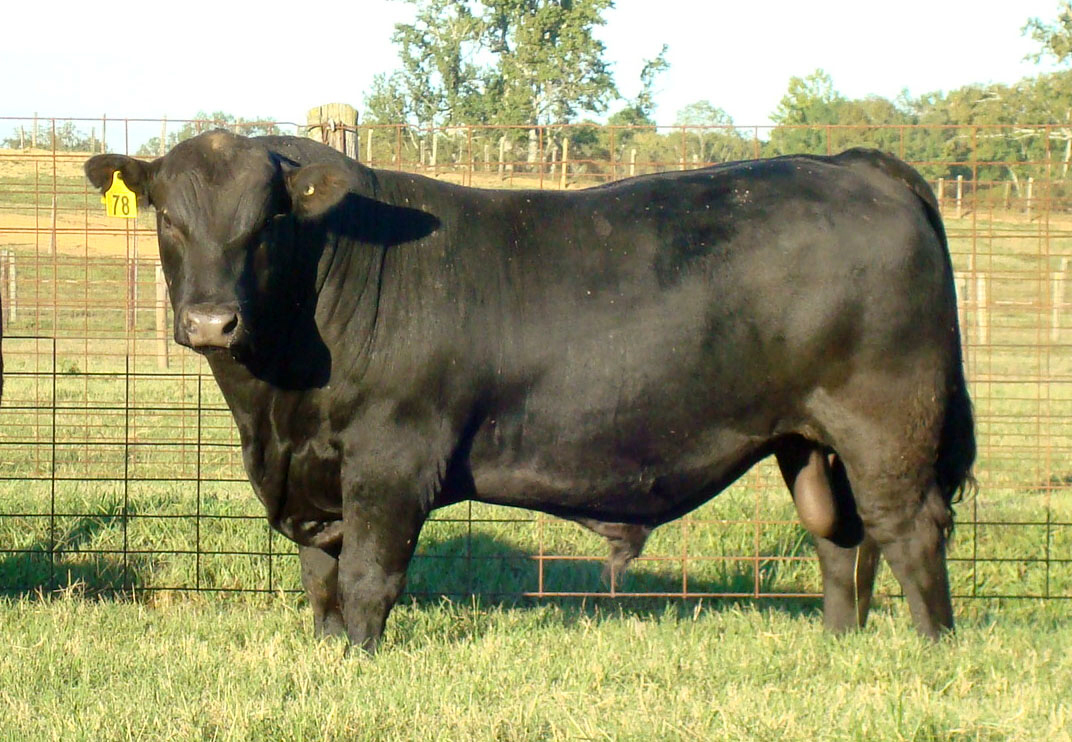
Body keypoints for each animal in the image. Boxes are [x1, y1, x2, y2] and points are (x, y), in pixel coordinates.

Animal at [86, 131, 974, 652]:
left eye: (268, 222)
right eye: (167, 218)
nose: (211, 320)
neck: (274, 410)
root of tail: (854, 163)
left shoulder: (390, 459)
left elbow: (370, 575)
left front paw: (361, 661)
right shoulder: (313, 473)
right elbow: (321, 580)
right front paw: (330, 650)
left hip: (887, 419)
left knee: (908, 529)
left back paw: (932, 651)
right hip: (809, 437)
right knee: (838, 536)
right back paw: (839, 644)